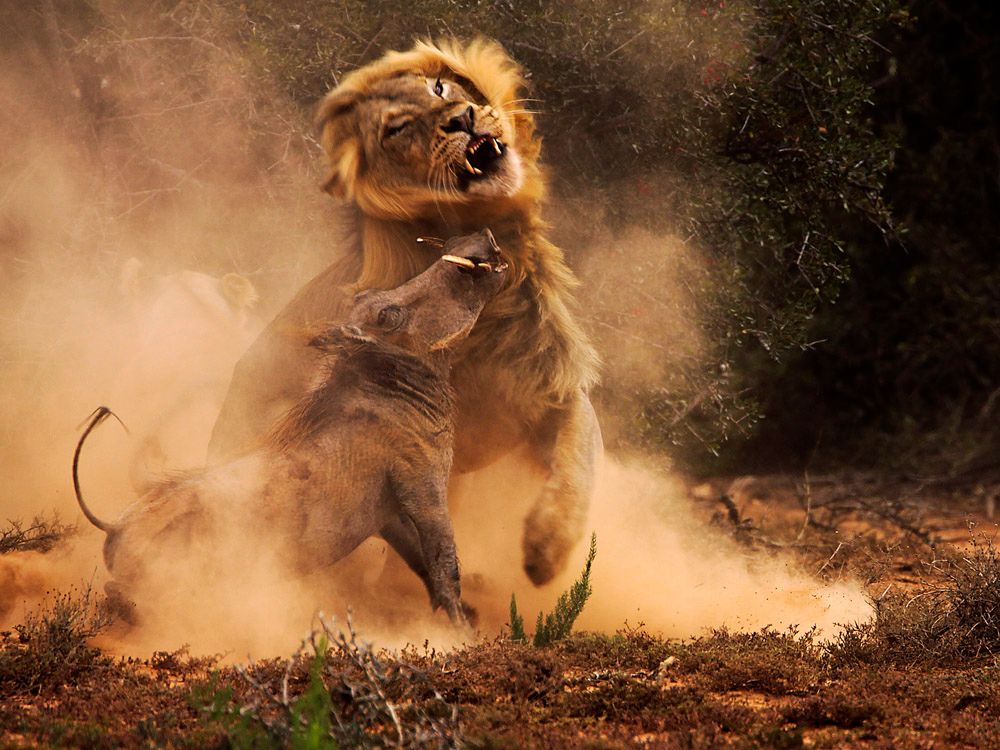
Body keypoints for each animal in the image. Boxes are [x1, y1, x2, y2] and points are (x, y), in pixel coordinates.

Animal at [208, 38, 601, 586]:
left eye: (440, 87)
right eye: (396, 129)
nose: (463, 118)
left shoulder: (556, 392)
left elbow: (577, 464)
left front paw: (546, 550)